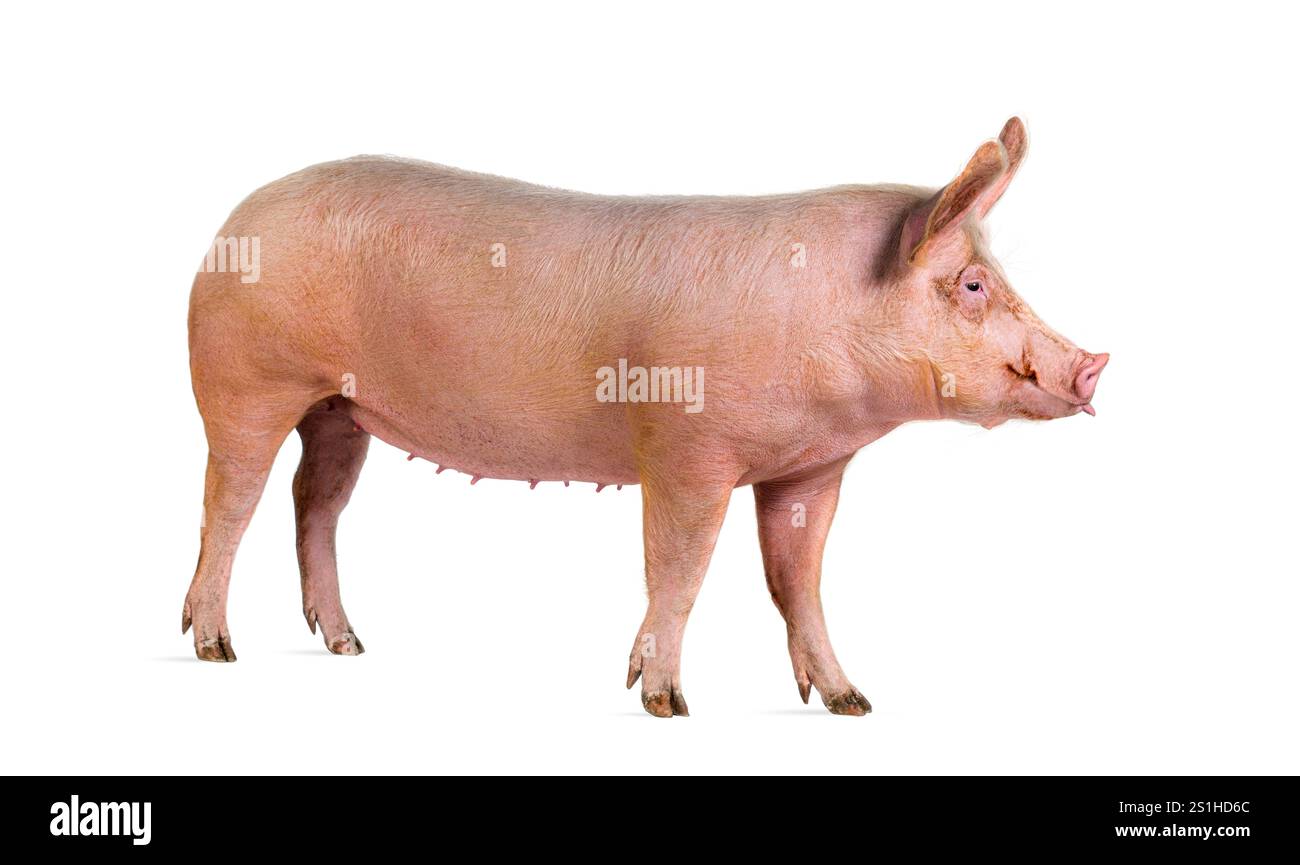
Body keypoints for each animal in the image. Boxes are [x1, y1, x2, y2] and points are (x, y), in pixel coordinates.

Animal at [184, 117, 1107, 716]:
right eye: (973, 285)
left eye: (997, 275)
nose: (1093, 363)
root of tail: (232, 224)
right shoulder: (686, 446)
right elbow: (681, 567)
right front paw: (666, 702)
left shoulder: (808, 468)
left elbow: (797, 580)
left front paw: (852, 701)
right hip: (246, 385)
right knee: (229, 504)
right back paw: (215, 648)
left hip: (340, 409)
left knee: (316, 503)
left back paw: (349, 644)